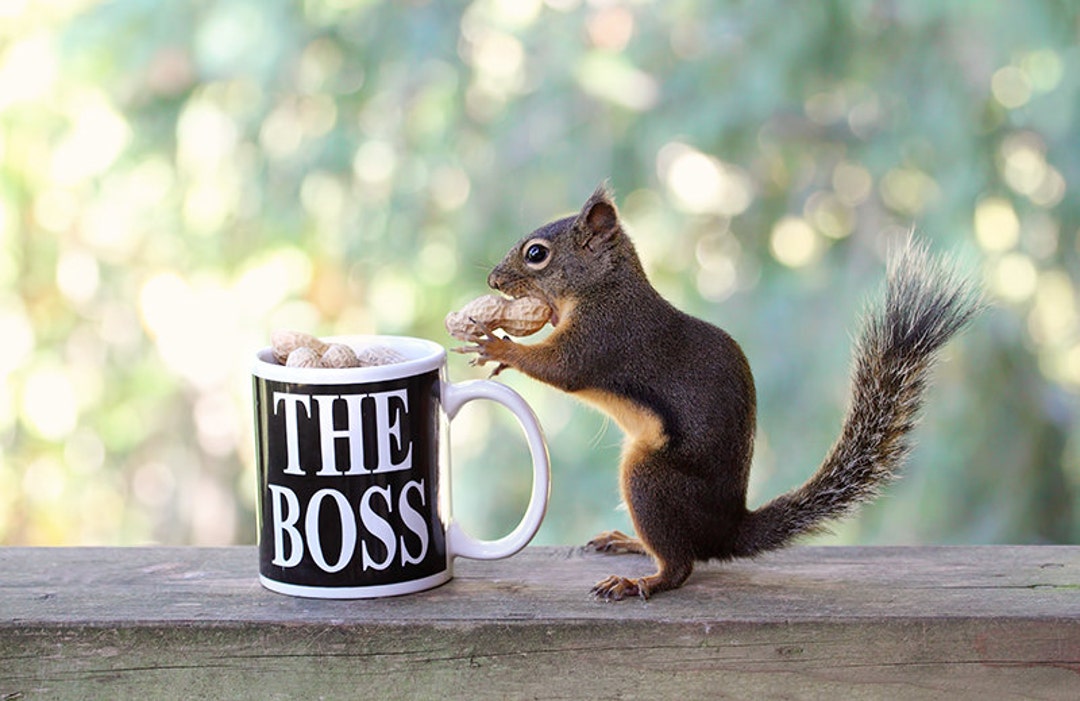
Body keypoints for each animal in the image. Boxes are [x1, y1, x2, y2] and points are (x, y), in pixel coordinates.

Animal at [460, 184, 983, 601]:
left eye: (536, 254)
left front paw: (496, 343)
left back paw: (642, 581)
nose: (492, 281)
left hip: (649, 477)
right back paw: (632, 543)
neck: (605, 286)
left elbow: (561, 368)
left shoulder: (604, 337)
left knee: (682, 565)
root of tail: (727, 529)